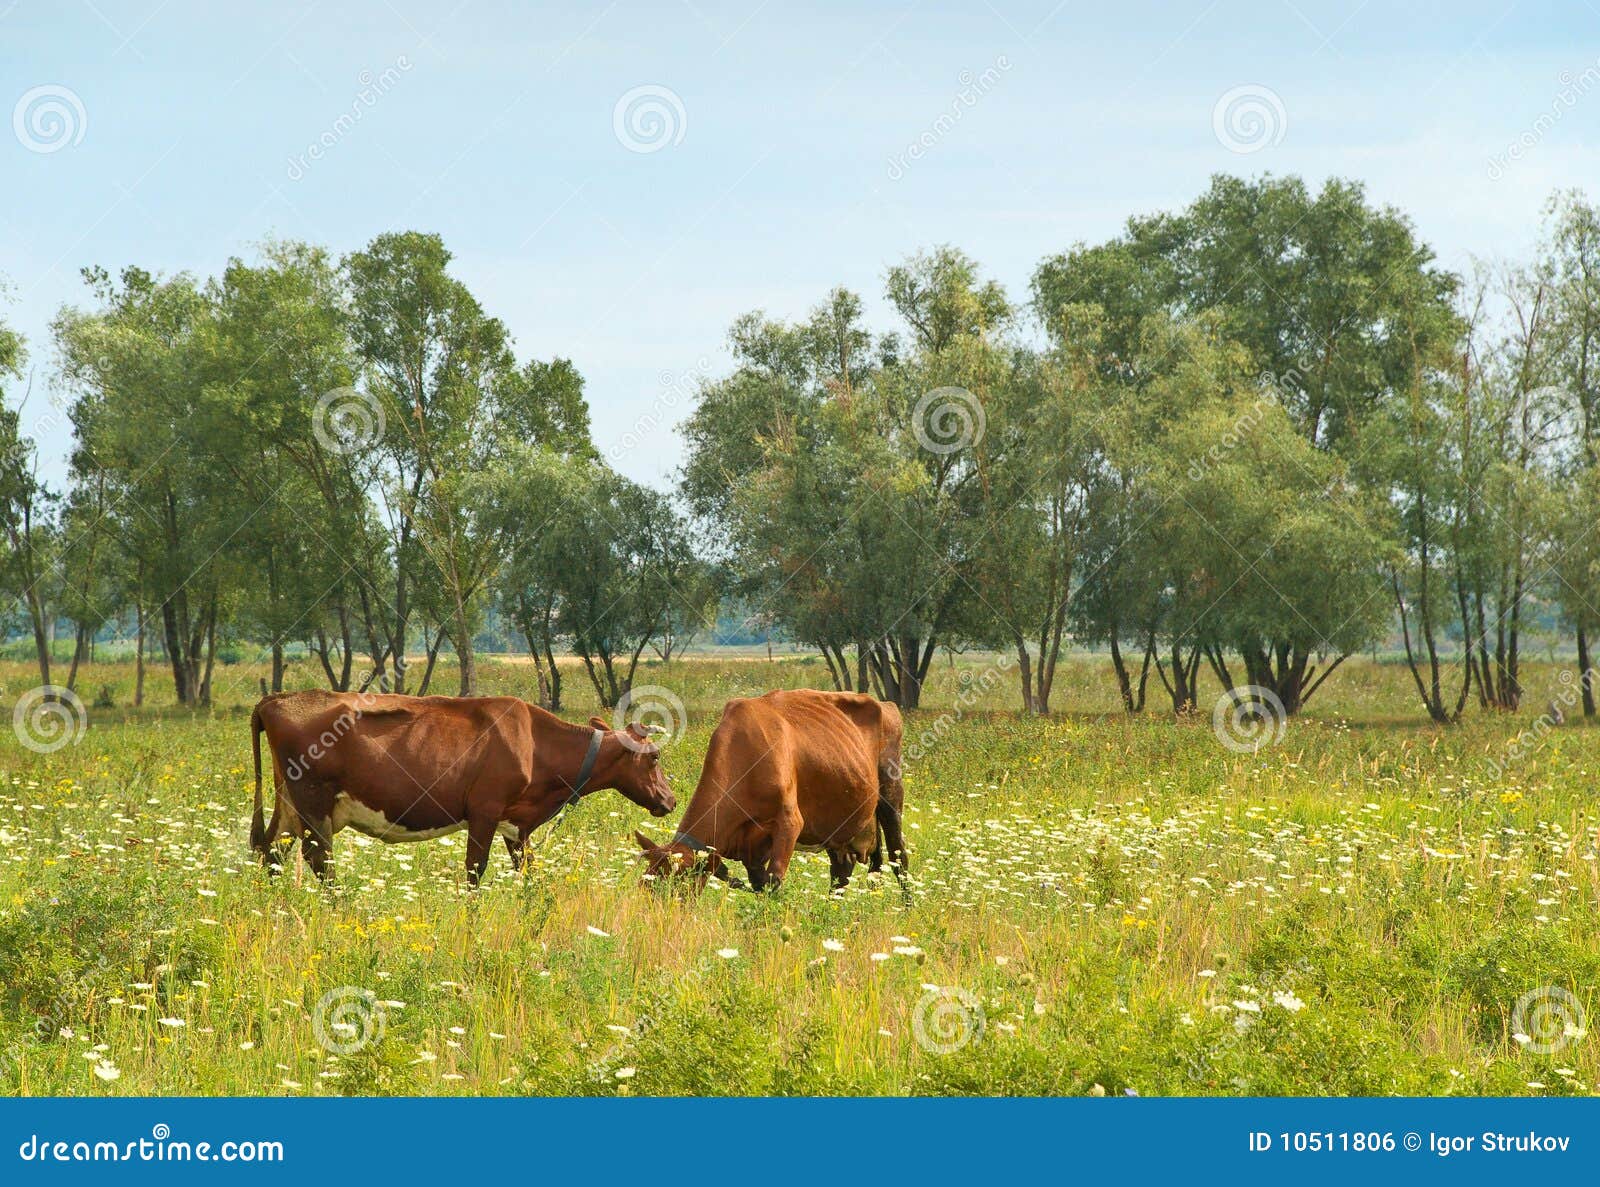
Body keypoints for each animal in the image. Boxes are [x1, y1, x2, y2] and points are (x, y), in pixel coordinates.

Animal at [250, 690, 675, 885]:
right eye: (654, 757)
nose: (670, 800)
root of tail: (276, 698)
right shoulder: (485, 812)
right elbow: (475, 871)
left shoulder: (516, 824)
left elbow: (527, 871)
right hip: (314, 805)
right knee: (320, 862)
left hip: (290, 806)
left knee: (271, 851)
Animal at [633, 689, 907, 892]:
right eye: (645, 885)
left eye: (674, 884)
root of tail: (885, 704)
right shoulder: (750, 849)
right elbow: (760, 886)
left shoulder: (789, 824)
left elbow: (773, 885)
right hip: (837, 822)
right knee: (843, 869)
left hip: (891, 793)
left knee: (899, 858)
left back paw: (906, 906)